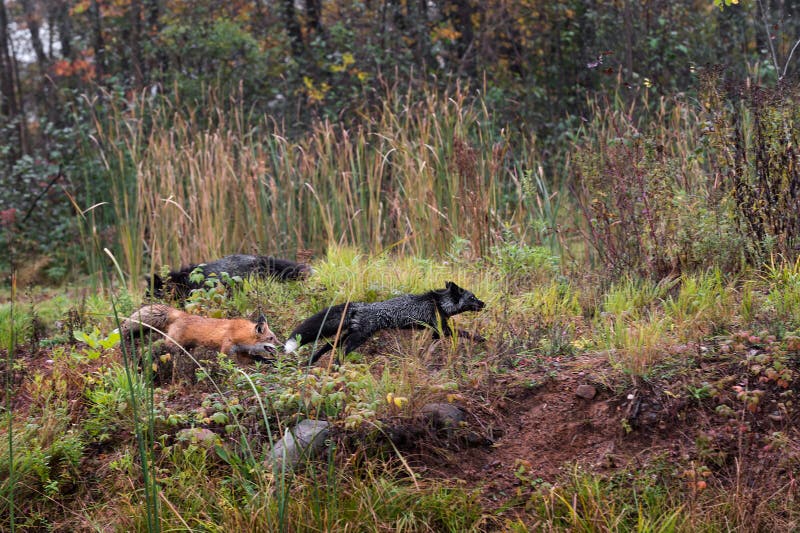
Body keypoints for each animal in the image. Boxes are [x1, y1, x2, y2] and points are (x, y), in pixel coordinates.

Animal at [117, 303, 279, 362]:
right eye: (271, 338)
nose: (281, 346)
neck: (239, 333)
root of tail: (180, 313)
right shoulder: (226, 349)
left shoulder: (242, 352)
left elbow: (258, 358)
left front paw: (271, 362)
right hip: (174, 343)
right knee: (161, 345)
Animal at [284, 281, 486, 365]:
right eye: (473, 298)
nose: (484, 304)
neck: (439, 303)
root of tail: (361, 305)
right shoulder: (443, 329)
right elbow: (465, 333)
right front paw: (481, 339)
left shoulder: (437, 332)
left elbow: (431, 346)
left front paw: (425, 356)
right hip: (357, 338)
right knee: (338, 353)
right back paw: (336, 366)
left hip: (348, 334)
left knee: (327, 346)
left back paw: (310, 363)